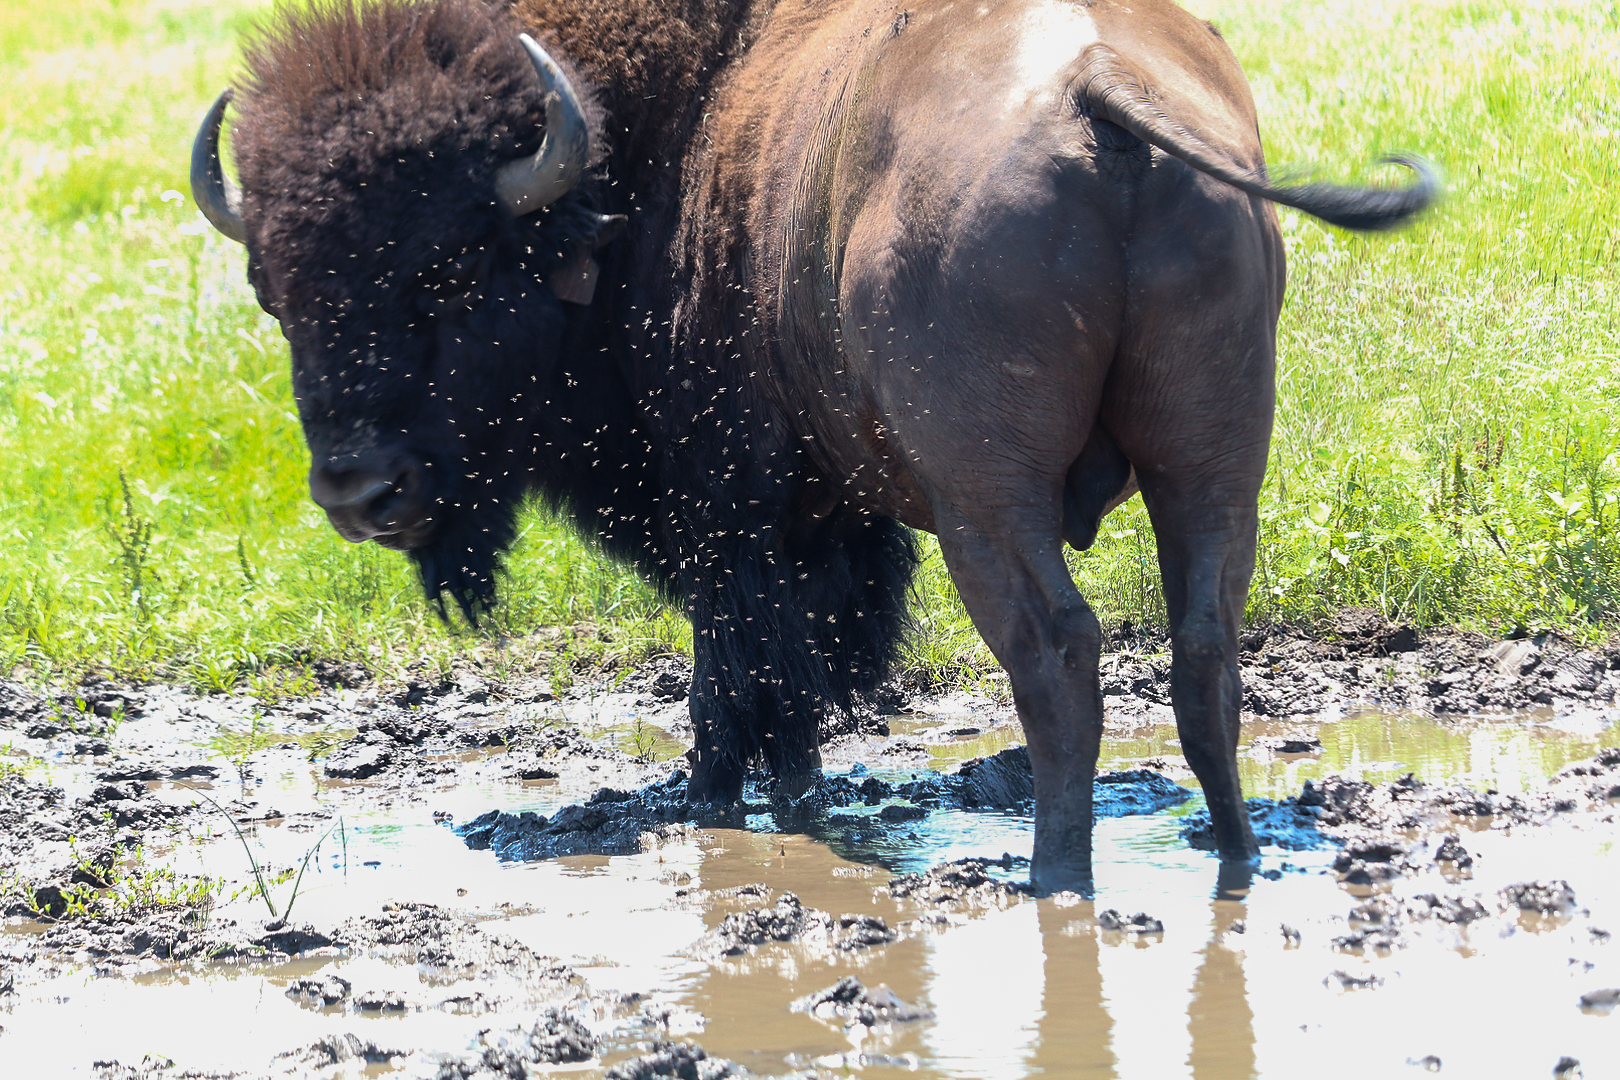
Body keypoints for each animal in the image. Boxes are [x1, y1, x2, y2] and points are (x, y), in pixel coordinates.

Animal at [192, 0, 1434, 891]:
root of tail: (1097, 91)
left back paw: (1054, 874)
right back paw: (1228, 855)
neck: (656, 147)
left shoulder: (730, 515)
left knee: (1057, 653)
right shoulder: (820, 519)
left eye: (448, 273)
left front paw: (719, 800)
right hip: (1213, 465)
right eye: (275, 289)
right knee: (1206, 647)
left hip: (990, 503)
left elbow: (742, 678)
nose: (360, 489)